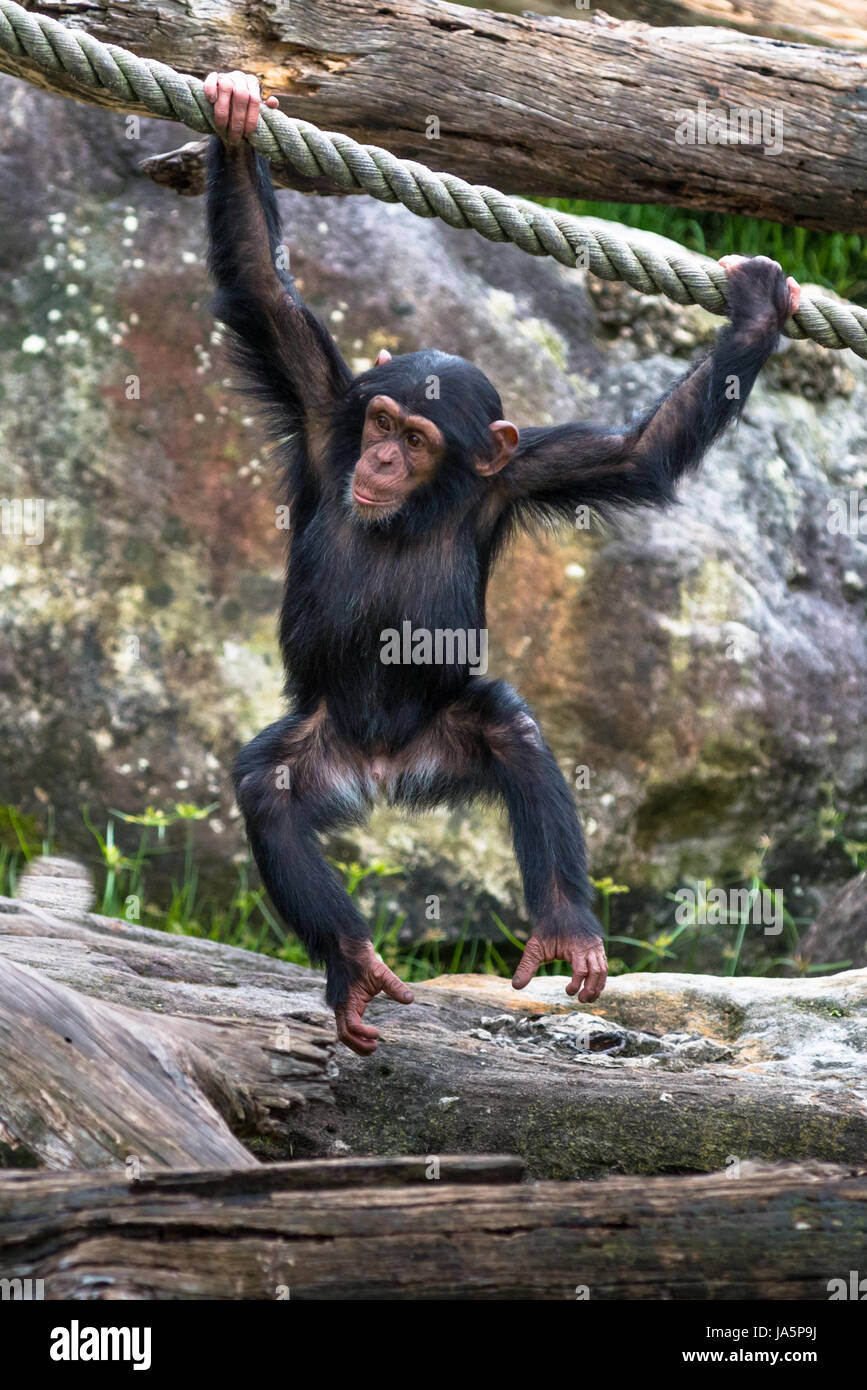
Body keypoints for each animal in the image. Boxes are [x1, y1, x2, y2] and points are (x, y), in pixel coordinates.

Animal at [202, 70, 800, 1050]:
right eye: (379, 423)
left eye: (416, 438)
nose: (379, 461)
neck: (420, 502)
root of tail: (382, 772)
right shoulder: (322, 408)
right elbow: (259, 283)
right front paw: (235, 110)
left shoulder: (520, 475)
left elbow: (636, 454)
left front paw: (754, 313)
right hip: (320, 741)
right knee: (270, 789)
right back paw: (351, 963)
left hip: (448, 733)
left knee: (517, 739)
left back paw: (563, 927)